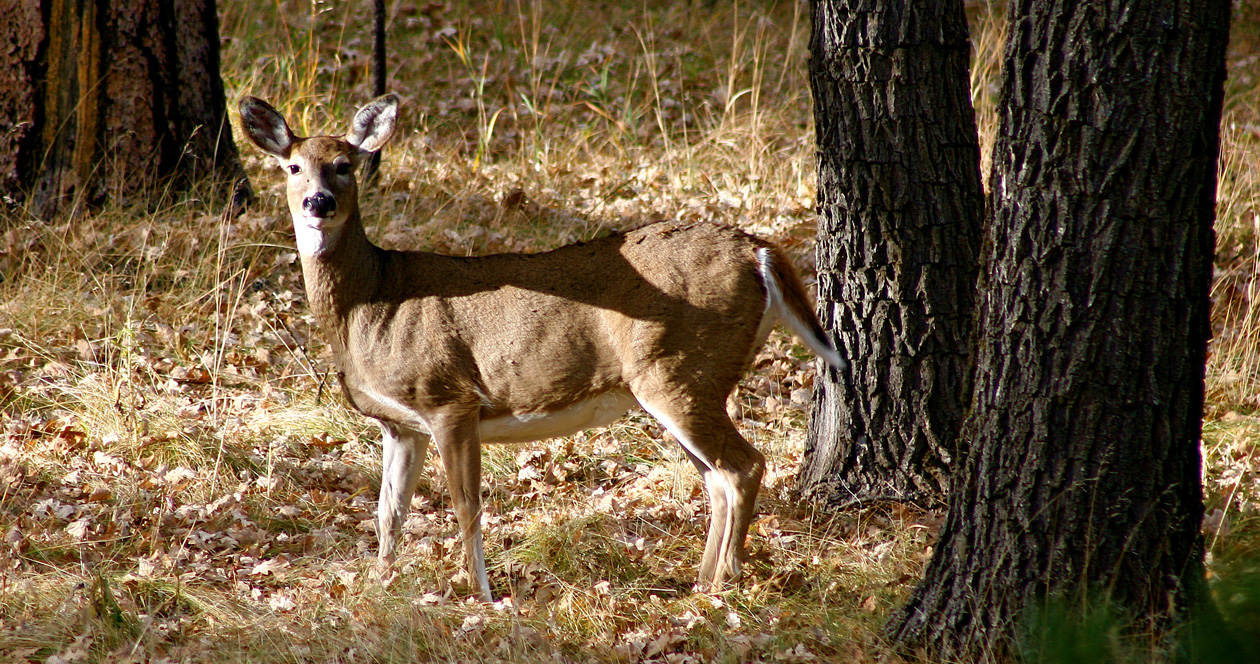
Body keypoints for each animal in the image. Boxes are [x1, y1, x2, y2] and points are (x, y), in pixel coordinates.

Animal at [238, 94, 846, 602]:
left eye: (345, 165)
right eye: (293, 167)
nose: (318, 201)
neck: (371, 302)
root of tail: (760, 251)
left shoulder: (449, 397)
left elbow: (467, 504)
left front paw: (481, 596)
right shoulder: (401, 423)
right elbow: (389, 513)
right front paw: (378, 585)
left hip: (680, 370)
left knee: (744, 466)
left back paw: (725, 584)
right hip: (687, 379)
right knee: (717, 478)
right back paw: (700, 583)